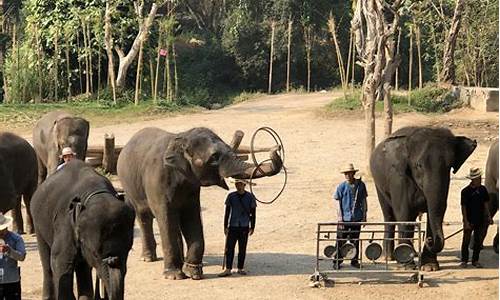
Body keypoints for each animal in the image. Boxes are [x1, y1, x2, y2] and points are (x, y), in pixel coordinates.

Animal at [32, 159, 136, 300]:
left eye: (128, 250)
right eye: (95, 253)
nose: (112, 260)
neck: (96, 194)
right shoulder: (65, 223)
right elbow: (60, 262)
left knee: (83, 268)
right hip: (38, 223)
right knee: (47, 263)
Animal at [115, 126, 284, 278]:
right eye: (214, 157)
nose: (277, 147)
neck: (181, 137)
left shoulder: (192, 187)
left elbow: (192, 217)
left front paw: (194, 273)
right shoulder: (158, 180)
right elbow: (166, 218)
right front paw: (174, 276)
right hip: (129, 186)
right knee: (144, 217)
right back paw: (148, 258)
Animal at [372, 126, 476, 272]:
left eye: (449, 166)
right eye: (419, 165)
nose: (429, 241)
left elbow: (437, 211)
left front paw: (430, 267)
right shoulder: (399, 179)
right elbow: (404, 213)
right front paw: (407, 266)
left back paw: (413, 253)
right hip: (379, 184)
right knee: (389, 215)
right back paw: (388, 257)